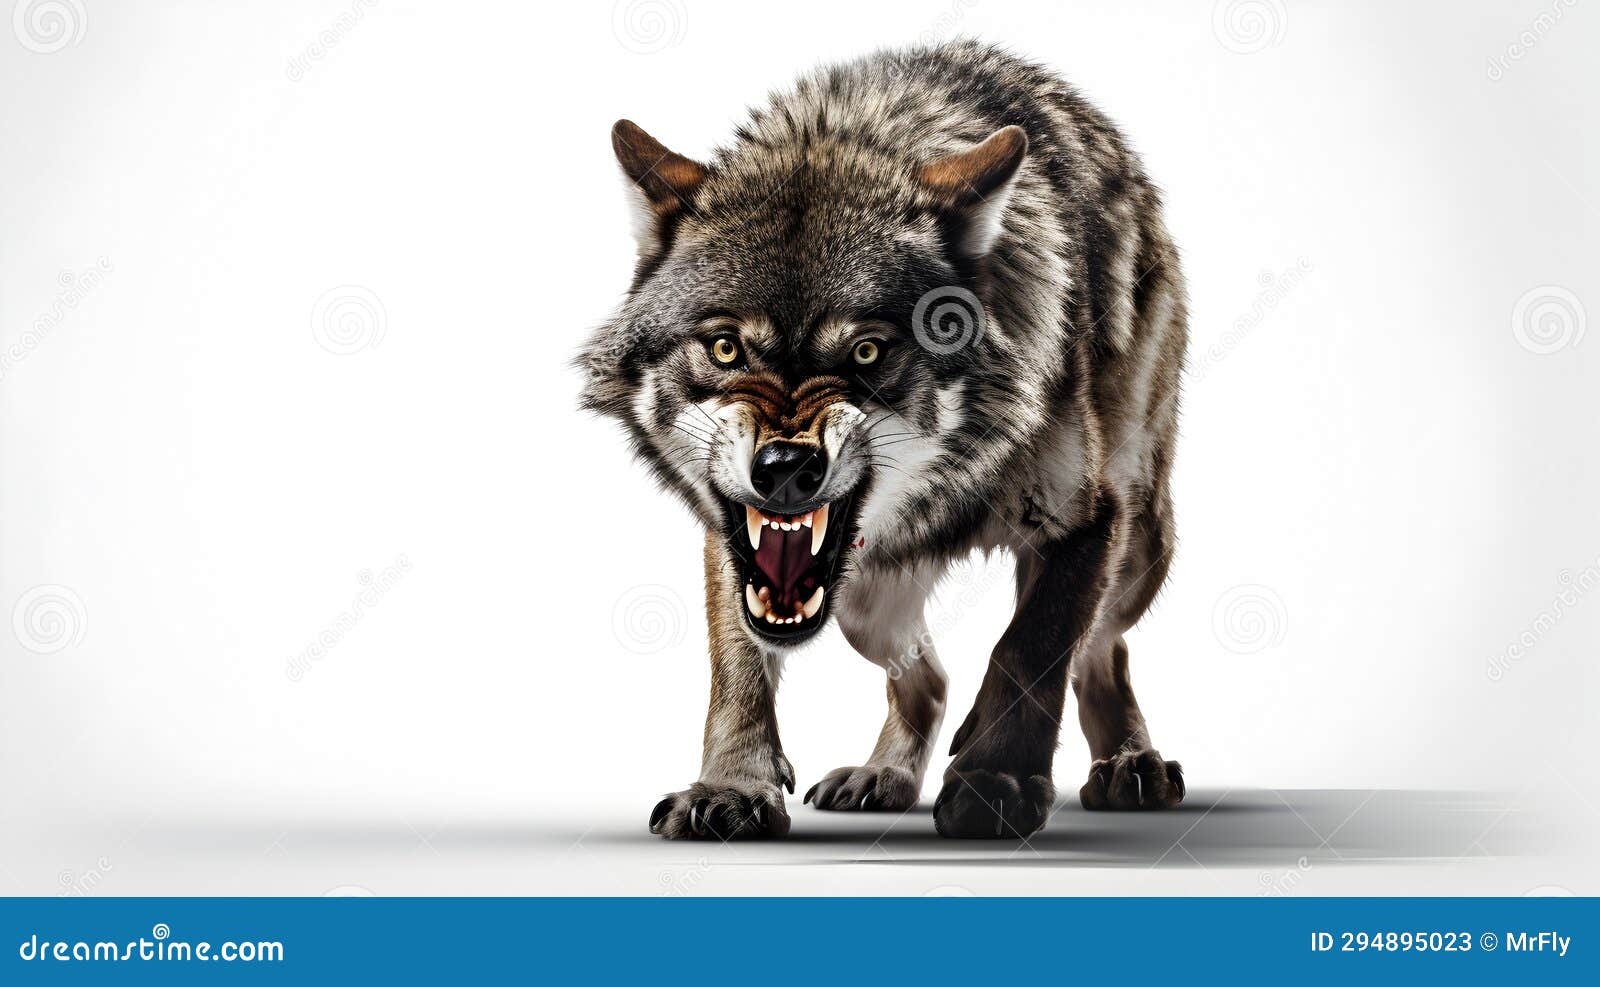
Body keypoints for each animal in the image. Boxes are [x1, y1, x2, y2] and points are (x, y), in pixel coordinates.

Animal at [579, 41, 1188, 839]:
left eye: (867, 353)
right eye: (724, 349)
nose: (783, 468)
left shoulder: (1087, 522)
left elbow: (1029, 651)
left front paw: (996, 781)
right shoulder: (730, 536)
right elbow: (738, 672)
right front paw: (733, 787)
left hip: (1140, 544)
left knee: (1100, 651)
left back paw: (1128, 765)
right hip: (864, 608)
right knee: (930, 677)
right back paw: (883, 777)